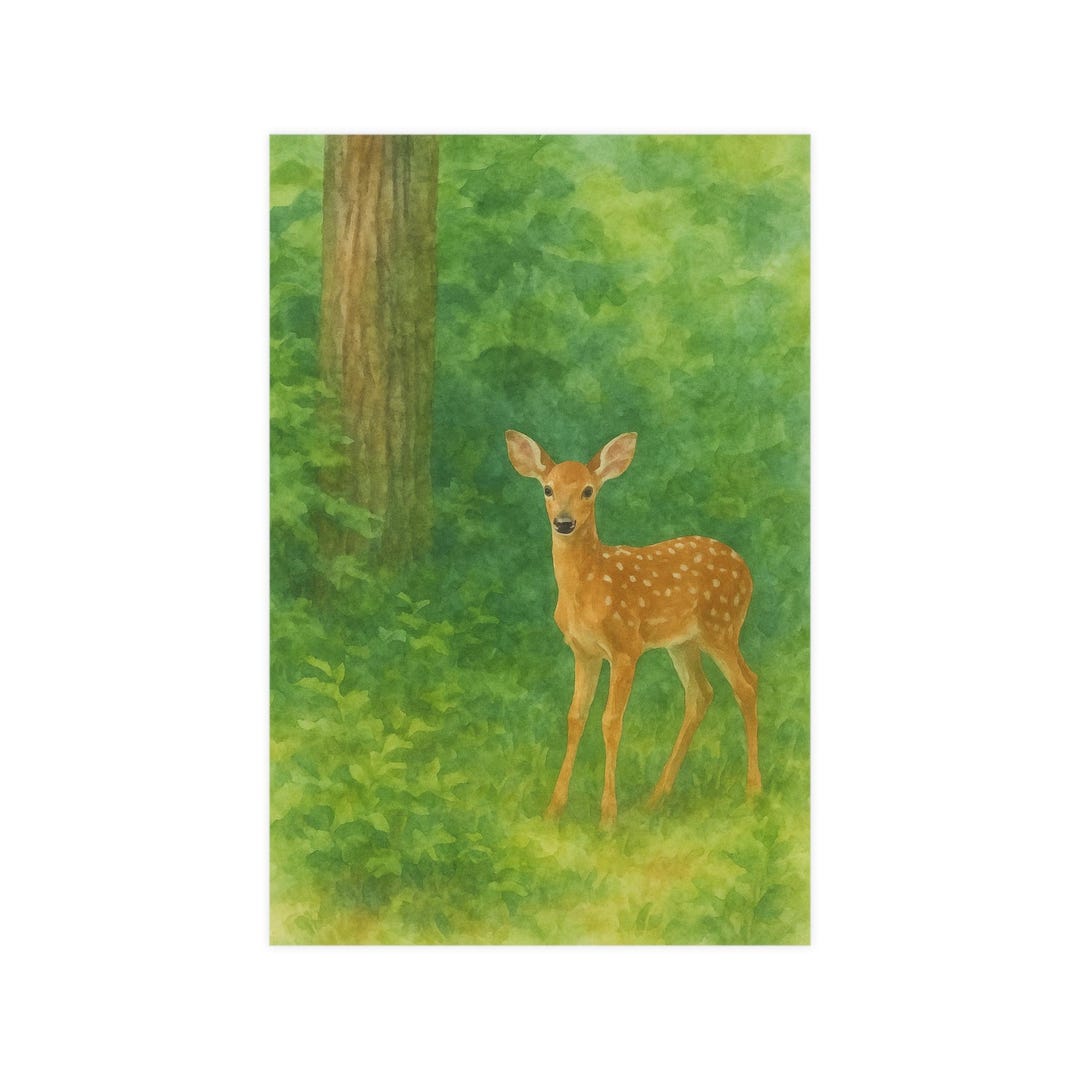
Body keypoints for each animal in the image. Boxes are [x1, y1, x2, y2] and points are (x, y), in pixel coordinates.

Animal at [505, 429, 762, 827]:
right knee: (701, 693)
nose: (563, 522)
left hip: (721, 626)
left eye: (588, 490)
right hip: (682, 642)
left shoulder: (626, 647)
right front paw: (553, 809)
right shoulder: (584, 652)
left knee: (746, 686)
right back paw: (656, 797)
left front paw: (608, 817)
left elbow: (611, 722)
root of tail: (745, 567)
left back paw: (753, 791)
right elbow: (575, 717)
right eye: (548, 489)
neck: (588, 588)